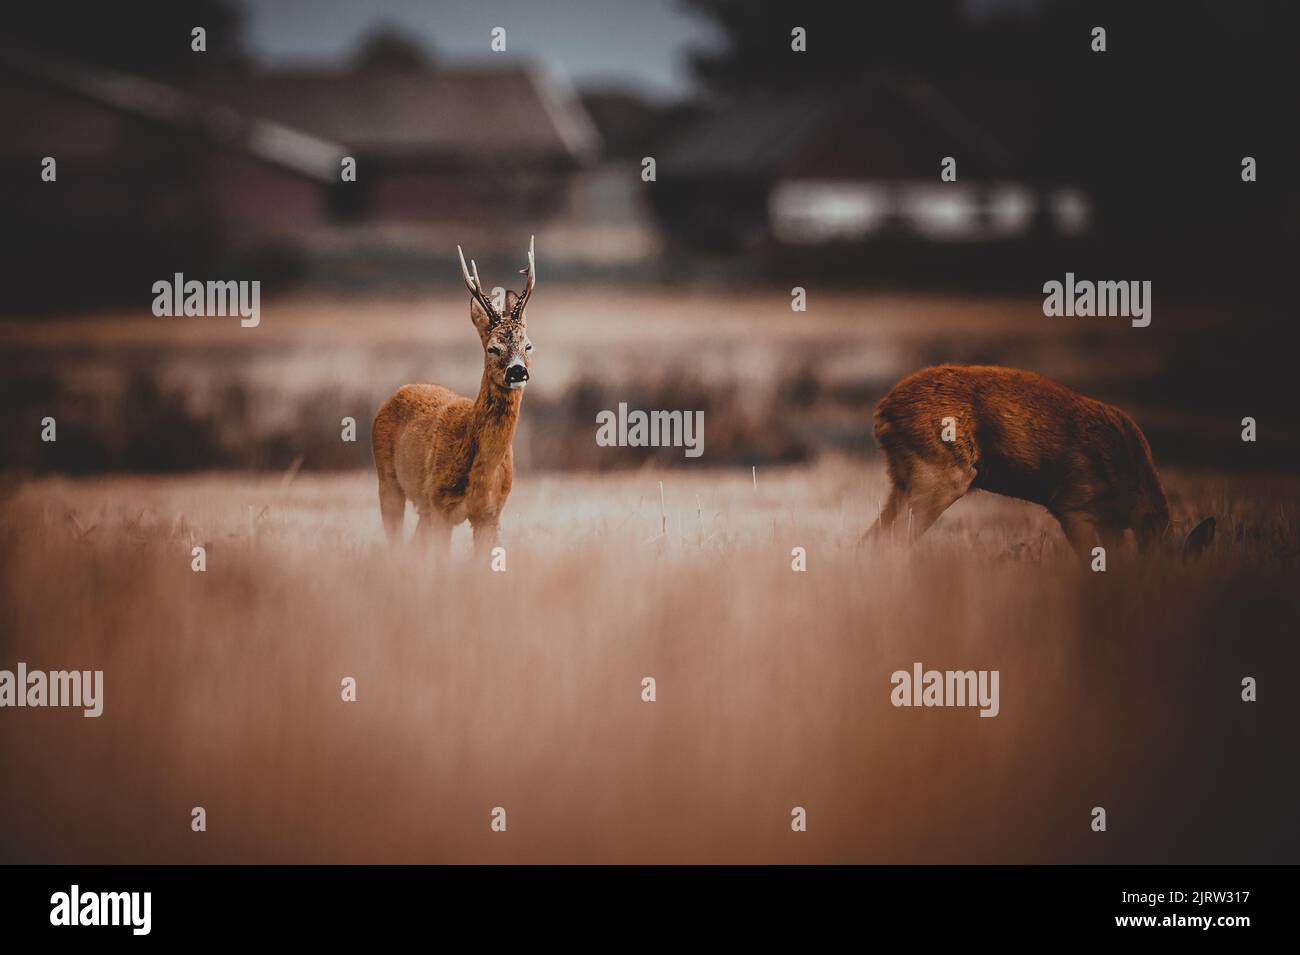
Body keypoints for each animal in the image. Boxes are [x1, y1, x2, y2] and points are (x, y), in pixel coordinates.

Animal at [371, 237, 535, 554]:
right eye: (492, 348)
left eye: (529, 346)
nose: (517, 371)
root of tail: (400, 390)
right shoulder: (440, 505)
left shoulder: (490, 515)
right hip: (389, 479)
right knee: (396, 541)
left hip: (422, 505)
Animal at [865, 364, 1215, 562]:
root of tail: (883, 409)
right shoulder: (1073, 504)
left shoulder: (1109, 523)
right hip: (941, 473)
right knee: (890, 539)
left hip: (904, 479)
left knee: (872, 537)